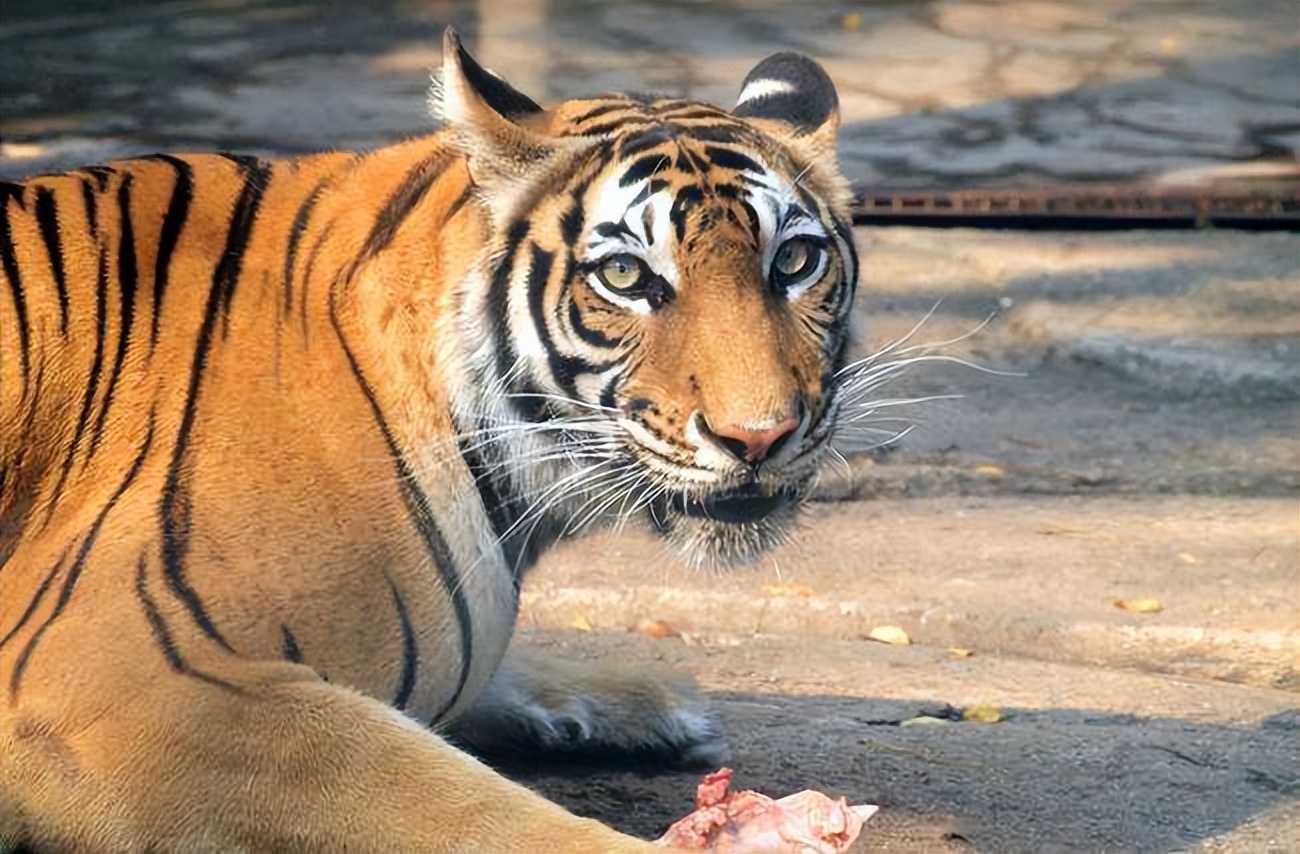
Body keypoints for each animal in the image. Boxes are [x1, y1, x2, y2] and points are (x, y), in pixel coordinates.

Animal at [0, 28, 858, 853]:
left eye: (794, 260)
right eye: (624, 276)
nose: (759, 436)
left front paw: (641, 699)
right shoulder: (104, 684)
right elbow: (453, 800)